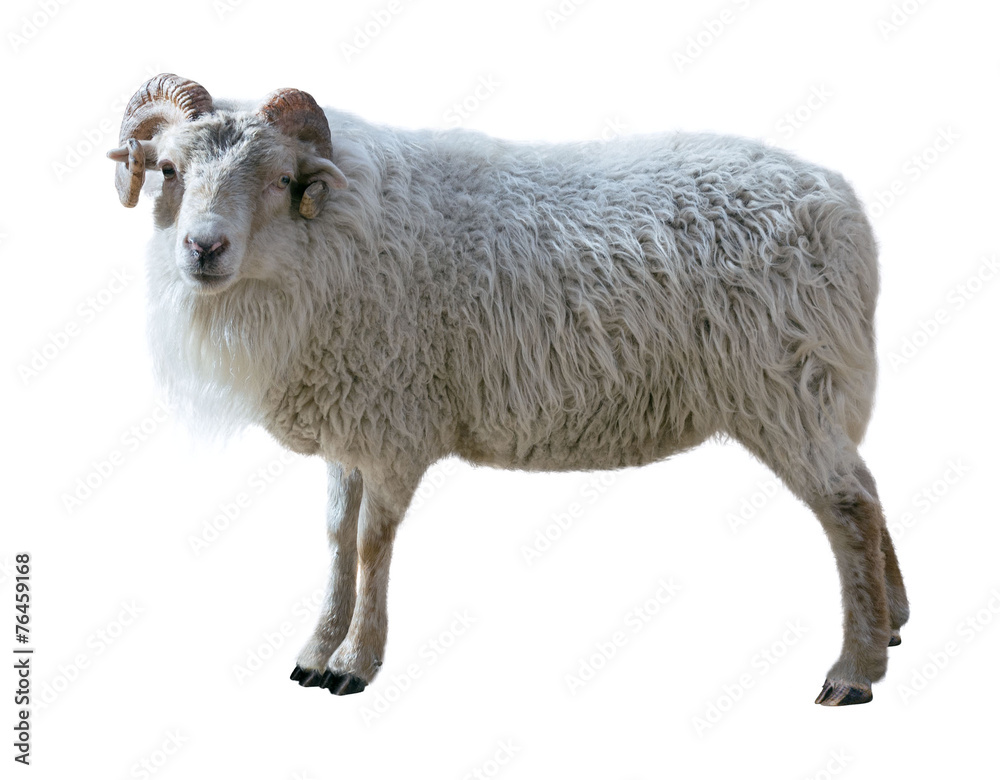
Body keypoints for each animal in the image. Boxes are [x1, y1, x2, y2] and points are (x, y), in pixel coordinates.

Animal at [107, 73, 908, 706]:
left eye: (279, 178)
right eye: (169, 168)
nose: (203, 249)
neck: (331, 236)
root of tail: (841, 206)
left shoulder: (395, 424)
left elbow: (371, 543)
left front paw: (354, 664)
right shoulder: (350, 423)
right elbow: (335, 539)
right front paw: (313, 651)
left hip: (787, 384)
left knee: (850, 506)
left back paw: (855, 670)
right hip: (815, 388)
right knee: (868, 490)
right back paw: (892, 623)